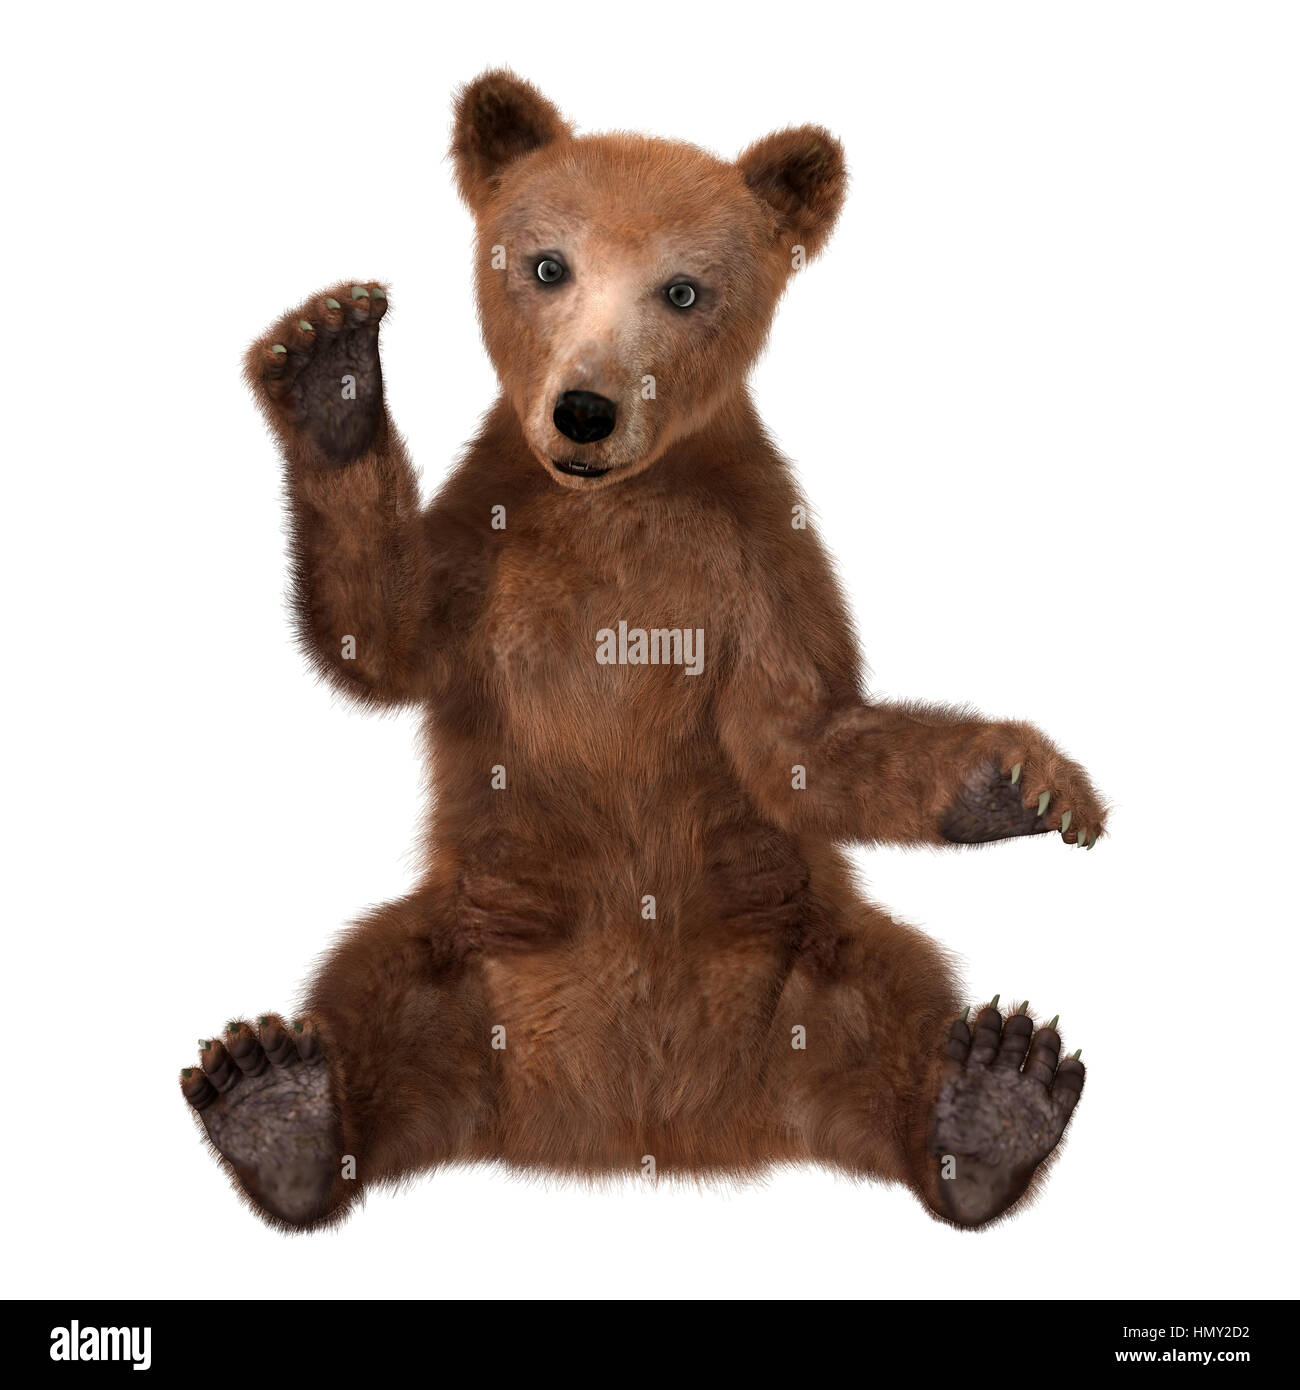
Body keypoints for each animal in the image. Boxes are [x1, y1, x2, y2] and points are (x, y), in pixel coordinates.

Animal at [181, 69, 1107, 1232]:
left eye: (683, 290)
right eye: (548, 264)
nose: (585, 410)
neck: (615, 501)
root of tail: (641, 1126)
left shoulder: (757, 559)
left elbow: (800, 740)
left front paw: (1020, 778)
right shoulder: (491, 541)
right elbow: (381, 633)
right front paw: (331, 366)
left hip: (800, 941)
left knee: (895, 992)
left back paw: (990, 1103)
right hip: (464, 939)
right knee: (368, 990)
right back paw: (280, 1104)